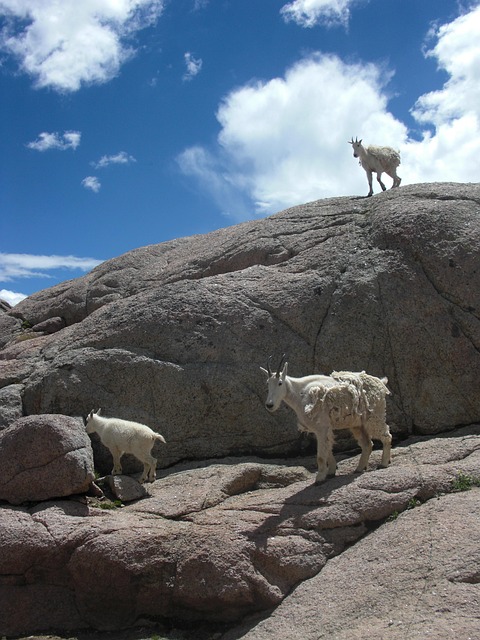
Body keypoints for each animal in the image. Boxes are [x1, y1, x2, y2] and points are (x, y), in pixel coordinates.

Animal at [260, 356, 392, 483]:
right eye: (267, 383)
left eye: (280, 383)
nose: (269, 405)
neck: (299, 394)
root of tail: (381, 383)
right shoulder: (323, 429)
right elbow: (328, 449)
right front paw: (331, 473)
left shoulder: (321, 427)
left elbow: (320, 456)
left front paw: (319, 478)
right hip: (357, 424)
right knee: (367, 444)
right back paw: (359, 468)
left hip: (374, 415)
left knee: (386, 436)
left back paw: (383, 464)